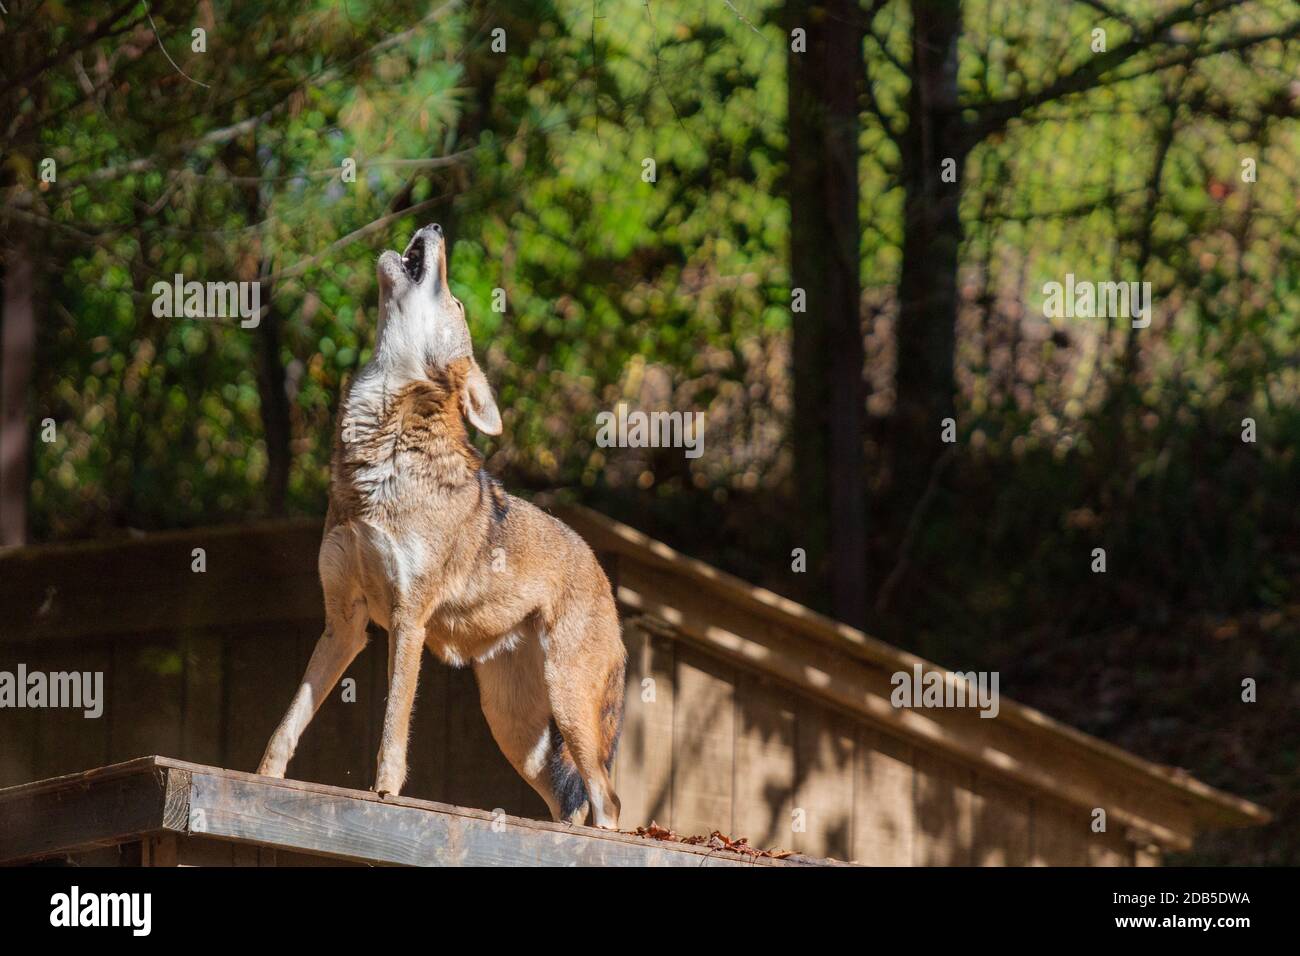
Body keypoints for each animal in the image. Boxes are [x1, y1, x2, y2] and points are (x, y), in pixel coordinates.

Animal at [257, 224, 625, 828]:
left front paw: (384, 798)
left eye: (454, 302)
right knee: (569, 800)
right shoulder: (344, 625)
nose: (434, 228)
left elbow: (391, 729)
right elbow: (289, 720)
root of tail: (603, 575)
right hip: (514, 730)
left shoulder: (409, 619)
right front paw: (264, 778)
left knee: (607, 799)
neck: (382, 454)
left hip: (568, 705)